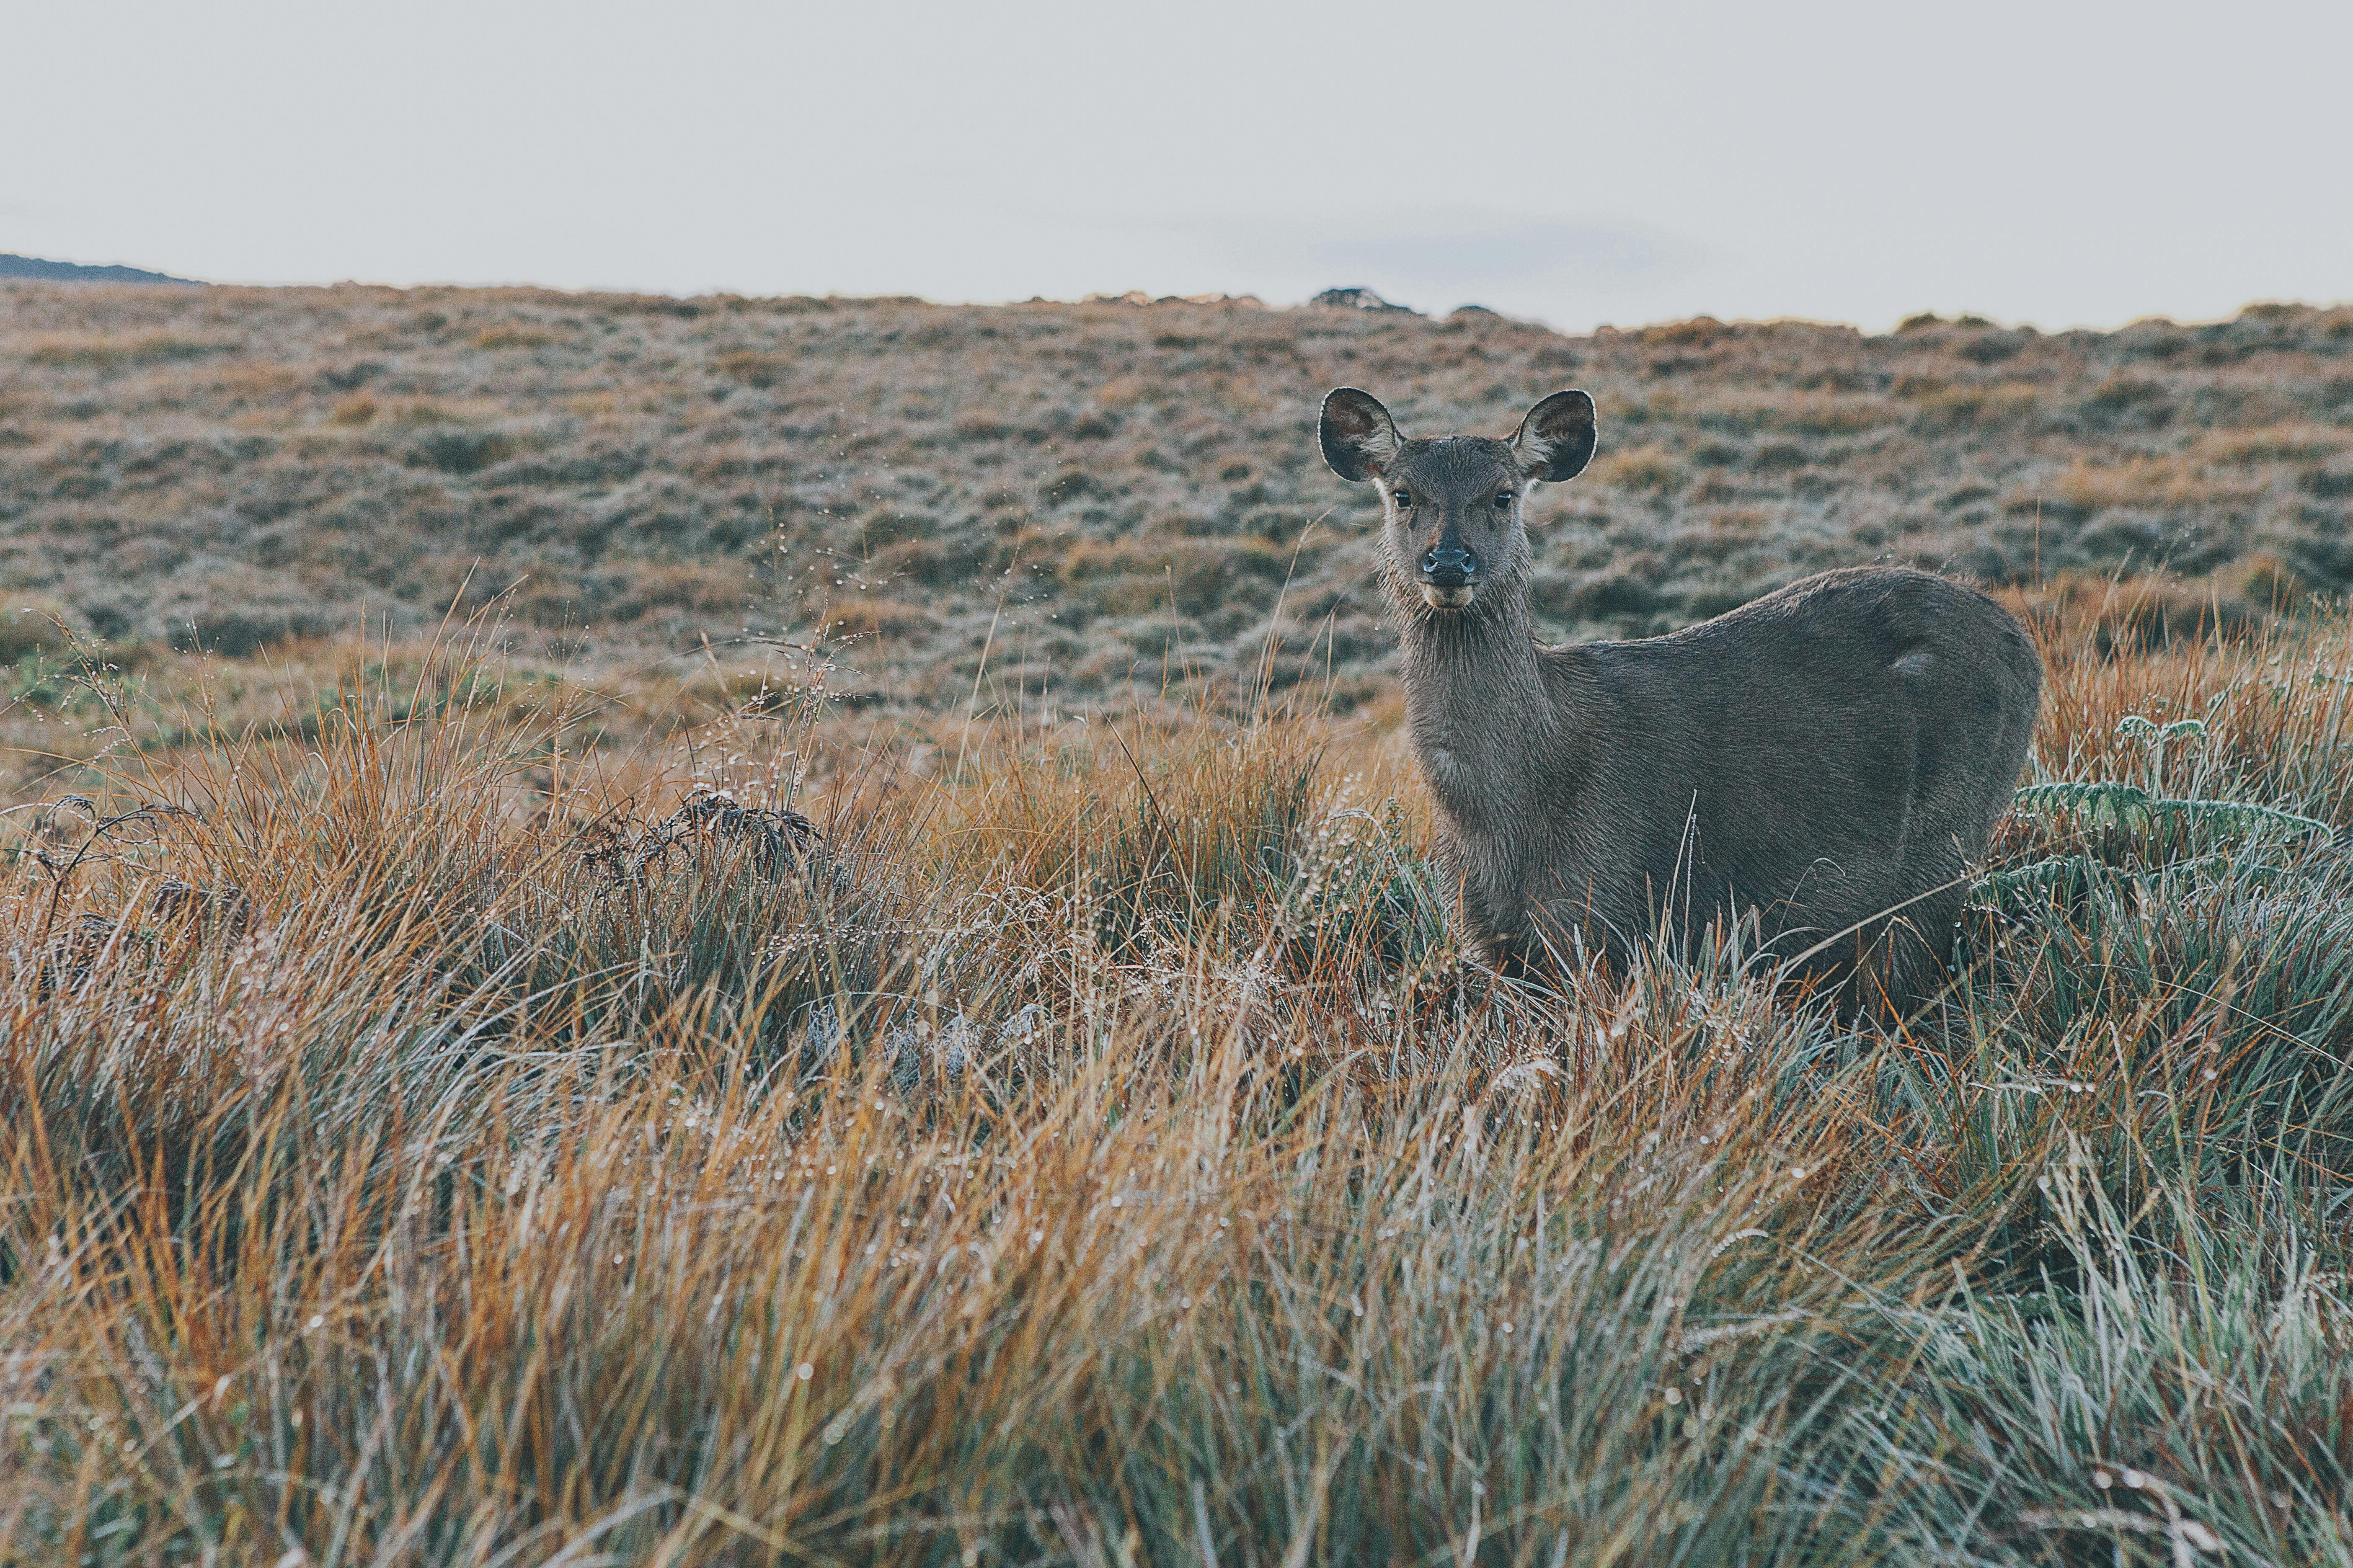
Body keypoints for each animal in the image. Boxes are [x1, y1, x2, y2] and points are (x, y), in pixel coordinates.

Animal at [1318, 386, 2042, 1012]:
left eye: (1502, 496)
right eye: (1403, 494)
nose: (1448, 563)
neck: (1507, 813)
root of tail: (2025, 647)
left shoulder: (1601, 913)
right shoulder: (1494, 943)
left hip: (1943, 840)